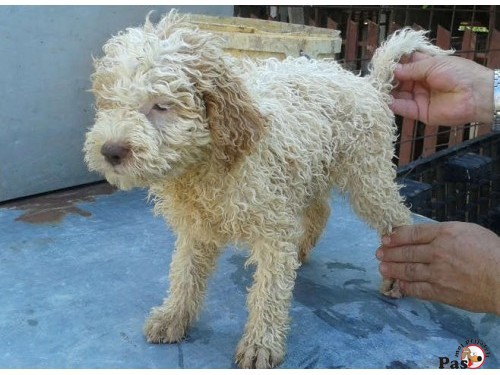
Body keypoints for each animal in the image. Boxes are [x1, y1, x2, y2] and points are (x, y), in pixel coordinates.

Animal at [84, 10, 448, 368]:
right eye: (109, 102)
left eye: (161, 105)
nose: (110, 151)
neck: (208, 166)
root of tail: (368, 84)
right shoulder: (197, 227)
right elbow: (185, 273)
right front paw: (174, 317)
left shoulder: (272, 226)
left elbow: (269, 291)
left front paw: (261, 344)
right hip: (309, 171)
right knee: (321, 209)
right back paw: (302, 249)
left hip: (366, 176)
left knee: (396, 218)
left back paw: (397, 275)